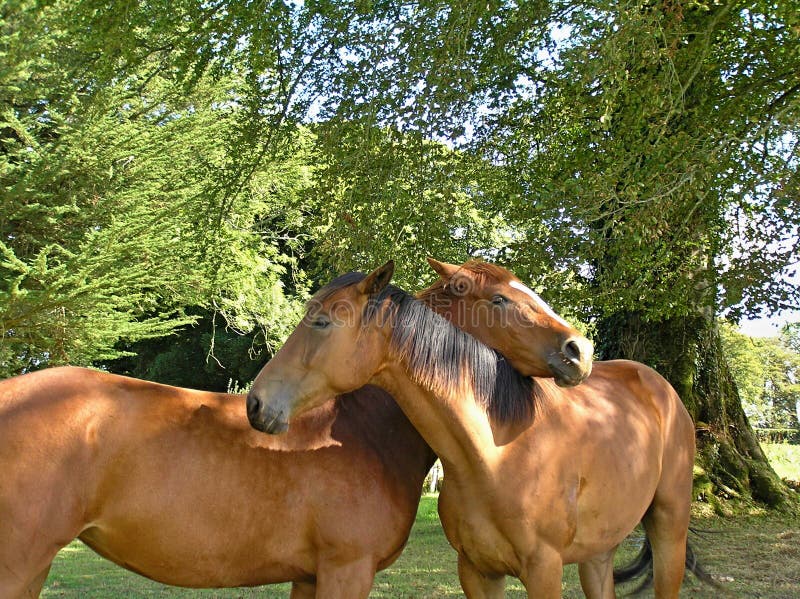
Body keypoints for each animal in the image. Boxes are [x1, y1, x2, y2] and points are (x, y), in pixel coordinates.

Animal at [0, 261, 592, 598]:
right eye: (501, 299)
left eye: (322, 320)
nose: (579, 350)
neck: (361, 432)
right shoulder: (346, 572)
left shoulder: (308, 576)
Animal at [247, 261, 700, 598]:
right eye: (500, 299)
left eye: (322, 322)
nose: (580, 350)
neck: (496, 456)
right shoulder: (478, 571)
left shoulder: (545, 570)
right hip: (599, 552)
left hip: (669, 531)